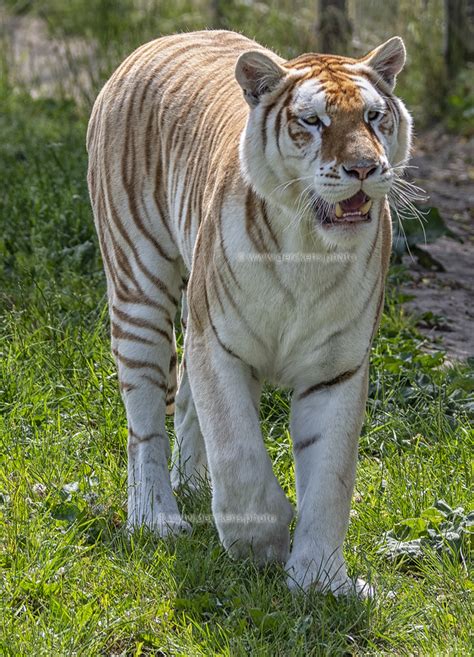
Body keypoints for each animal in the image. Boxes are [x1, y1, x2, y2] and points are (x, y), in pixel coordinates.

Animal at [86, 29, 412, 596]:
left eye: (374, 116)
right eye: (313, 121)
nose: (365, 169)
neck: (310, 250)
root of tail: (161, 39)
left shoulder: (337, 369)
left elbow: (331, 478)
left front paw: (320, 579)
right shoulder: (219, 345)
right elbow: (238, 455)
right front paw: (261, 544)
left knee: (184, 401)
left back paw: (193, 485)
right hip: (138, 285)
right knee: (144, 423)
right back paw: (157, 518)